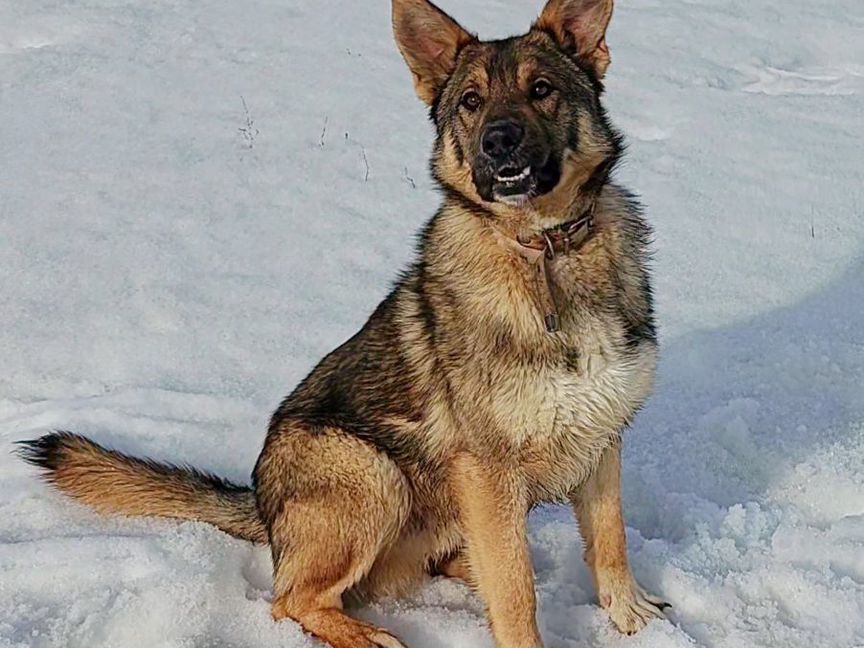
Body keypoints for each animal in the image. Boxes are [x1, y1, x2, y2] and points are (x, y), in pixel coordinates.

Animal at [18, 1, 668, 648]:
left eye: (542, 90)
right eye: (471, 101)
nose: (498, 141)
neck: (546, 251)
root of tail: (263, 505)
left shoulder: (602, 439)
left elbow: (609, 543)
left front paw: (634, 618)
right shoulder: (488, 472)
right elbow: (516, 595)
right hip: (371, 470)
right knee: (292, 599)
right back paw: (369, 636)